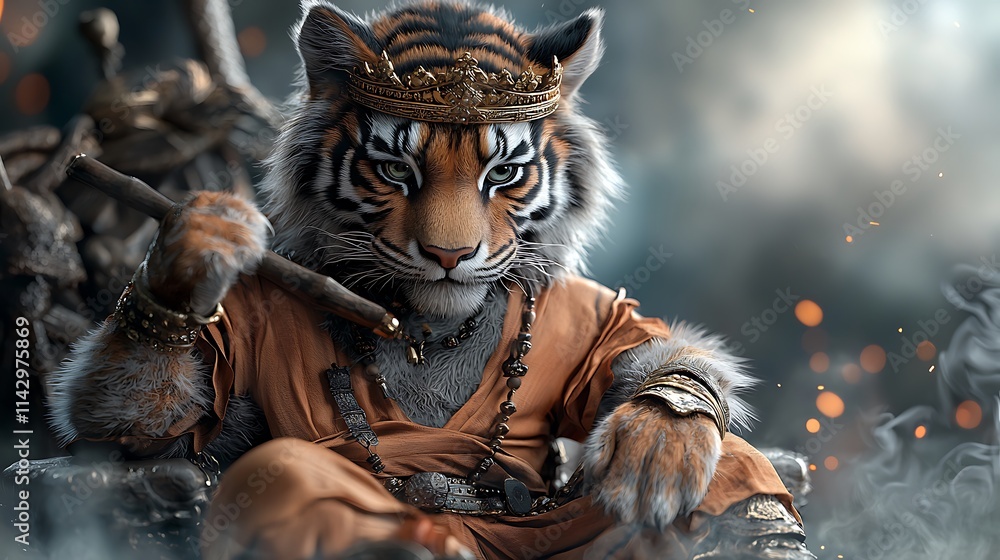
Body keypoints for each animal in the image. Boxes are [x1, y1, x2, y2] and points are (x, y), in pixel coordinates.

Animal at [49, 1, 809, 558]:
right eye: (395, 170)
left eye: (503, 173)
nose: (451, 254)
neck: (428, 324)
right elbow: (142, 427)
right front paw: (200, 245)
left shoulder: (595, 315)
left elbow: (658, 356)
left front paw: (657, 449)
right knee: (284, 472)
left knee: (739, 469)